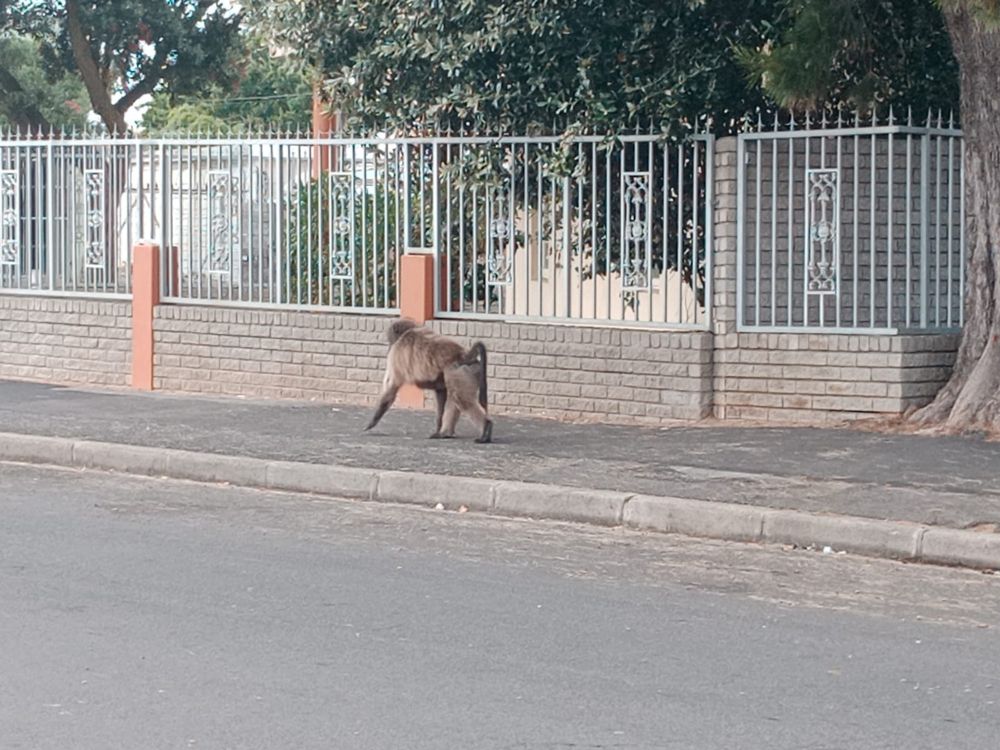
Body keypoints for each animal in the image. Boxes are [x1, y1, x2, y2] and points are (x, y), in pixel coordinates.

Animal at [364, 318, 493, 443]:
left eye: (390, 339)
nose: (389, 346)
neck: (407, 332)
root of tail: (463, 355)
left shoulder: (395, 354)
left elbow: (391, 388)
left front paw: (371, 423)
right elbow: (441, 392)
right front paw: (438, 427)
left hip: (458, 371)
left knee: (460, 398)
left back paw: (486, 428)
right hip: (470, 370)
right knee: (454, 397)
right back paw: (444, 433)